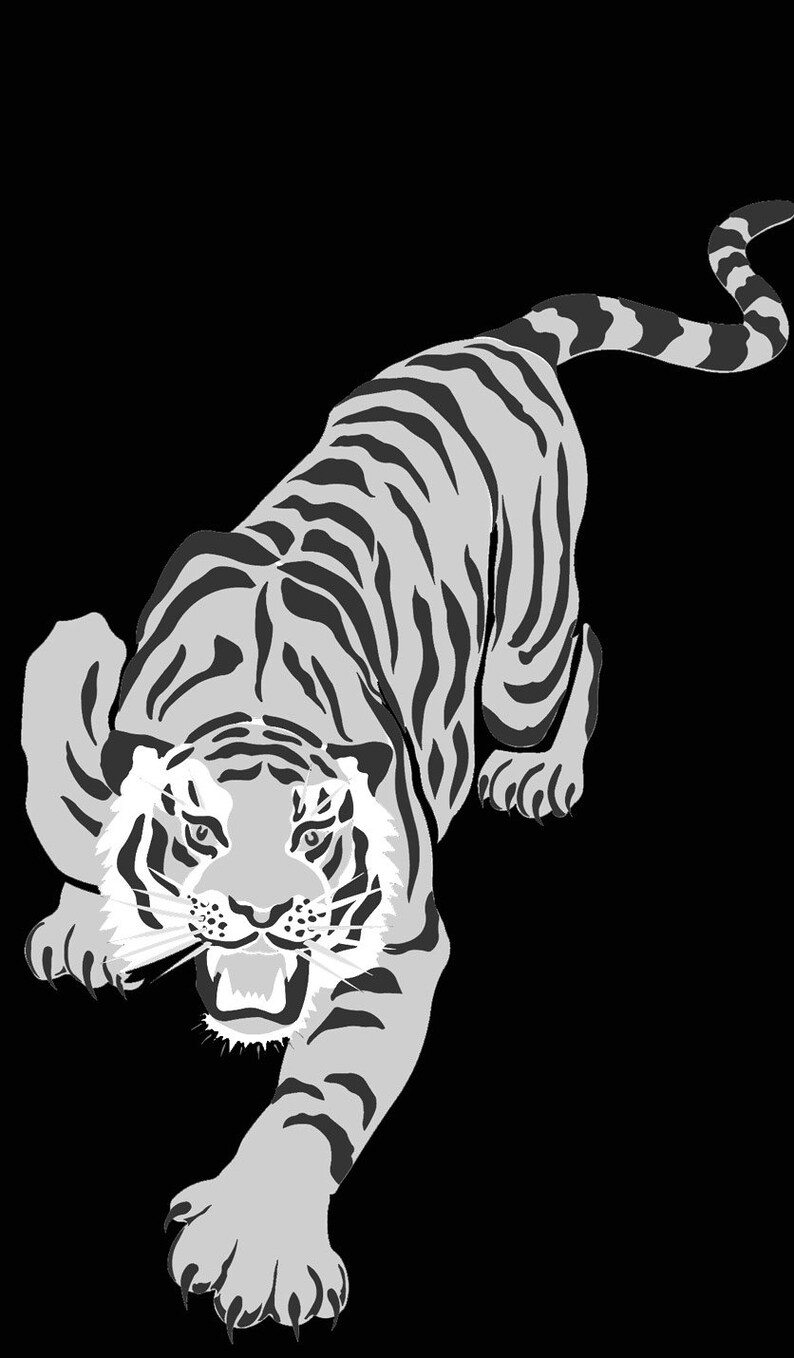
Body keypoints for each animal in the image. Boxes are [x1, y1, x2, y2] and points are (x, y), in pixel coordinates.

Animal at [22, 198, 791, 1337]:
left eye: (314, 832)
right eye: (198, 830)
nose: (257, 913)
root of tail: (499, 339)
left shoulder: (399, 946)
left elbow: (318, 1097)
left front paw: (258, 1244)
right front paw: (89, 922)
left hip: (524, 648)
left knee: (589, 646)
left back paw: (542, 775)